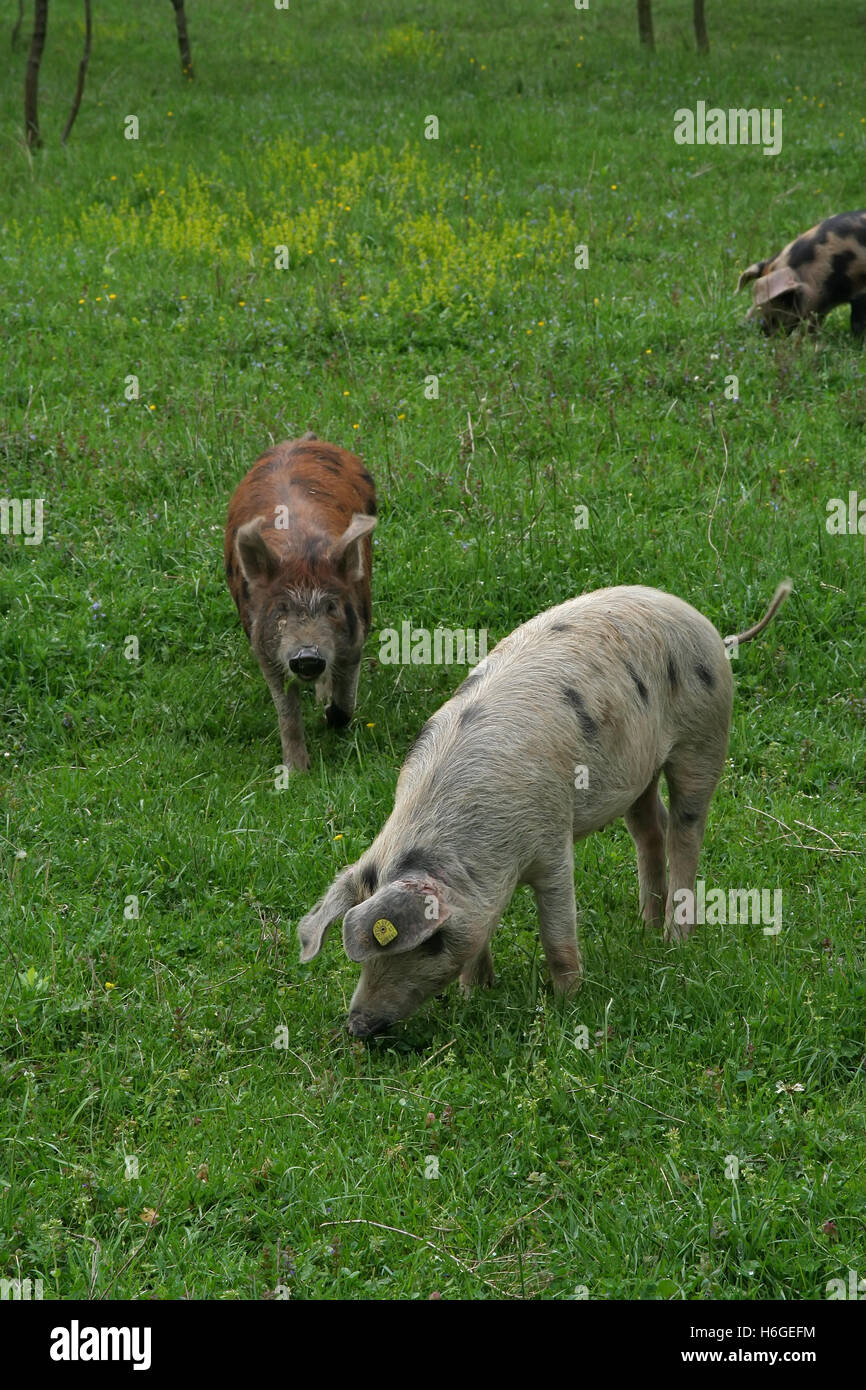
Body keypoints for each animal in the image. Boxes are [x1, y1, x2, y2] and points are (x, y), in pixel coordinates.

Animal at [225, 433, 377, 771]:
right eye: (282, 608)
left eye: (331, 607)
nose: (308, 655)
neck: (301, 550)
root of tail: (303, 439)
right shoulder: (266, 651)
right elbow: (287, 712)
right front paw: (296, 772)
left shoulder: (356, 637)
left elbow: (347, 698)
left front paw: (330, 716)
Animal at [297, 581, 791, 1036]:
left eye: (428, 944)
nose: (357, 1025)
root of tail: (706, 624)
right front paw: (475, 994)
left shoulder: (553, 841)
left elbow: (557, 933)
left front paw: (568, 1005)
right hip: (638, 771)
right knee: (651, 829)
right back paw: (645, 929)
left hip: (704, 734)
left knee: (688, 828)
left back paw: (675, 941)